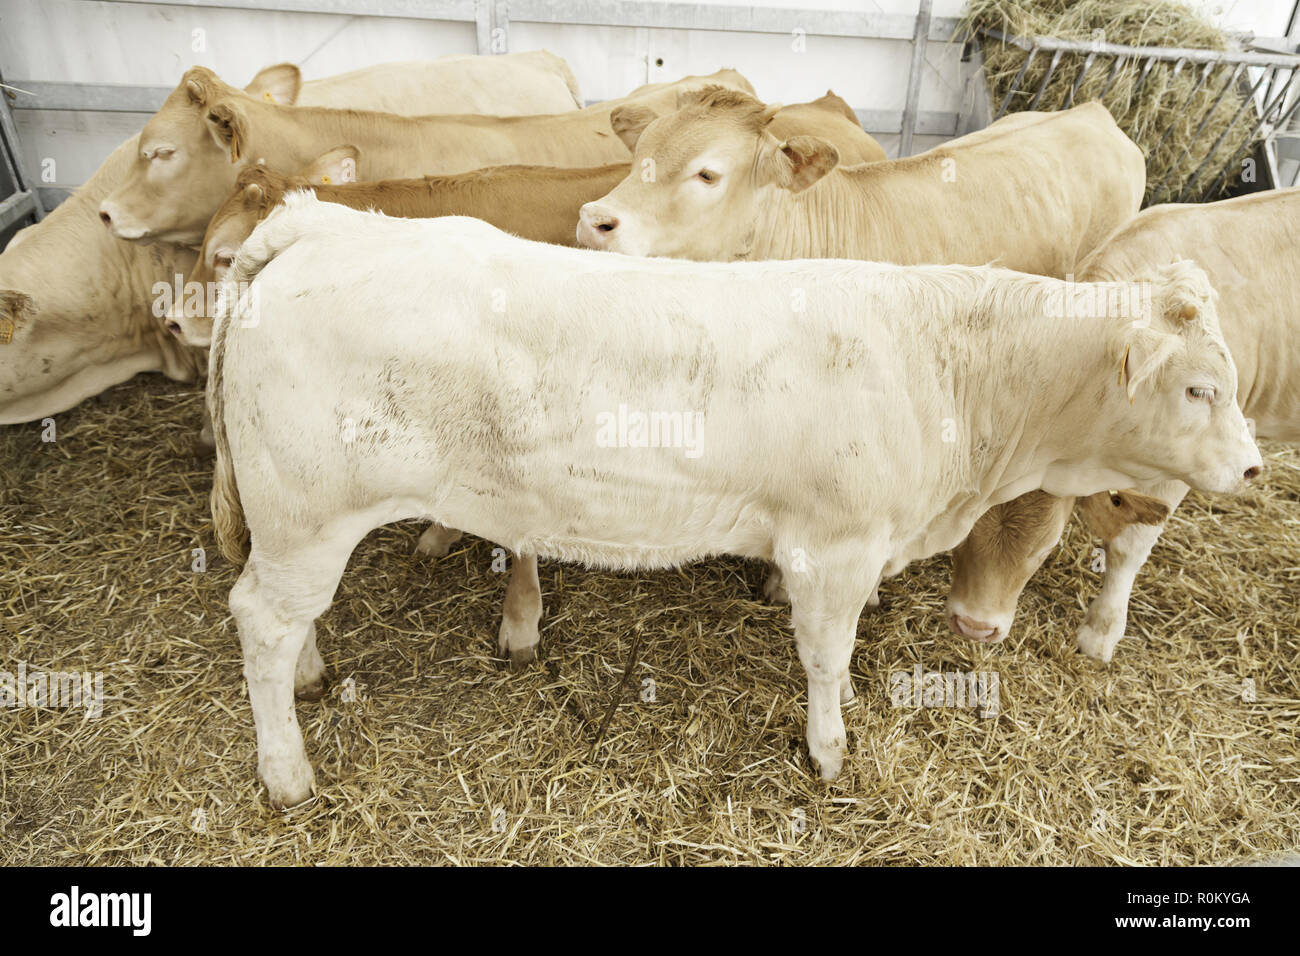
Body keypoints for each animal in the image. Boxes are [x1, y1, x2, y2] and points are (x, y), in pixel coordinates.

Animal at [207, 193, 1259, 806]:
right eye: (1201, 387)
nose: (1254, 469)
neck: (950, 370)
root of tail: (325, 223)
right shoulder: (836, 544)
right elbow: (827, 655)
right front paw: (830, 750)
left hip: (299, 522)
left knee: (286, 619)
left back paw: (310, 677)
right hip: (309, 510)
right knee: (258, 615)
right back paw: (286, 771)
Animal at [947, 187, 1300, 661]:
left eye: (1044, 550)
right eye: (960, 536)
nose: (975, 627)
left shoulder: (1180, 471)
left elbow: (1129, 546)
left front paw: (1101, 629)